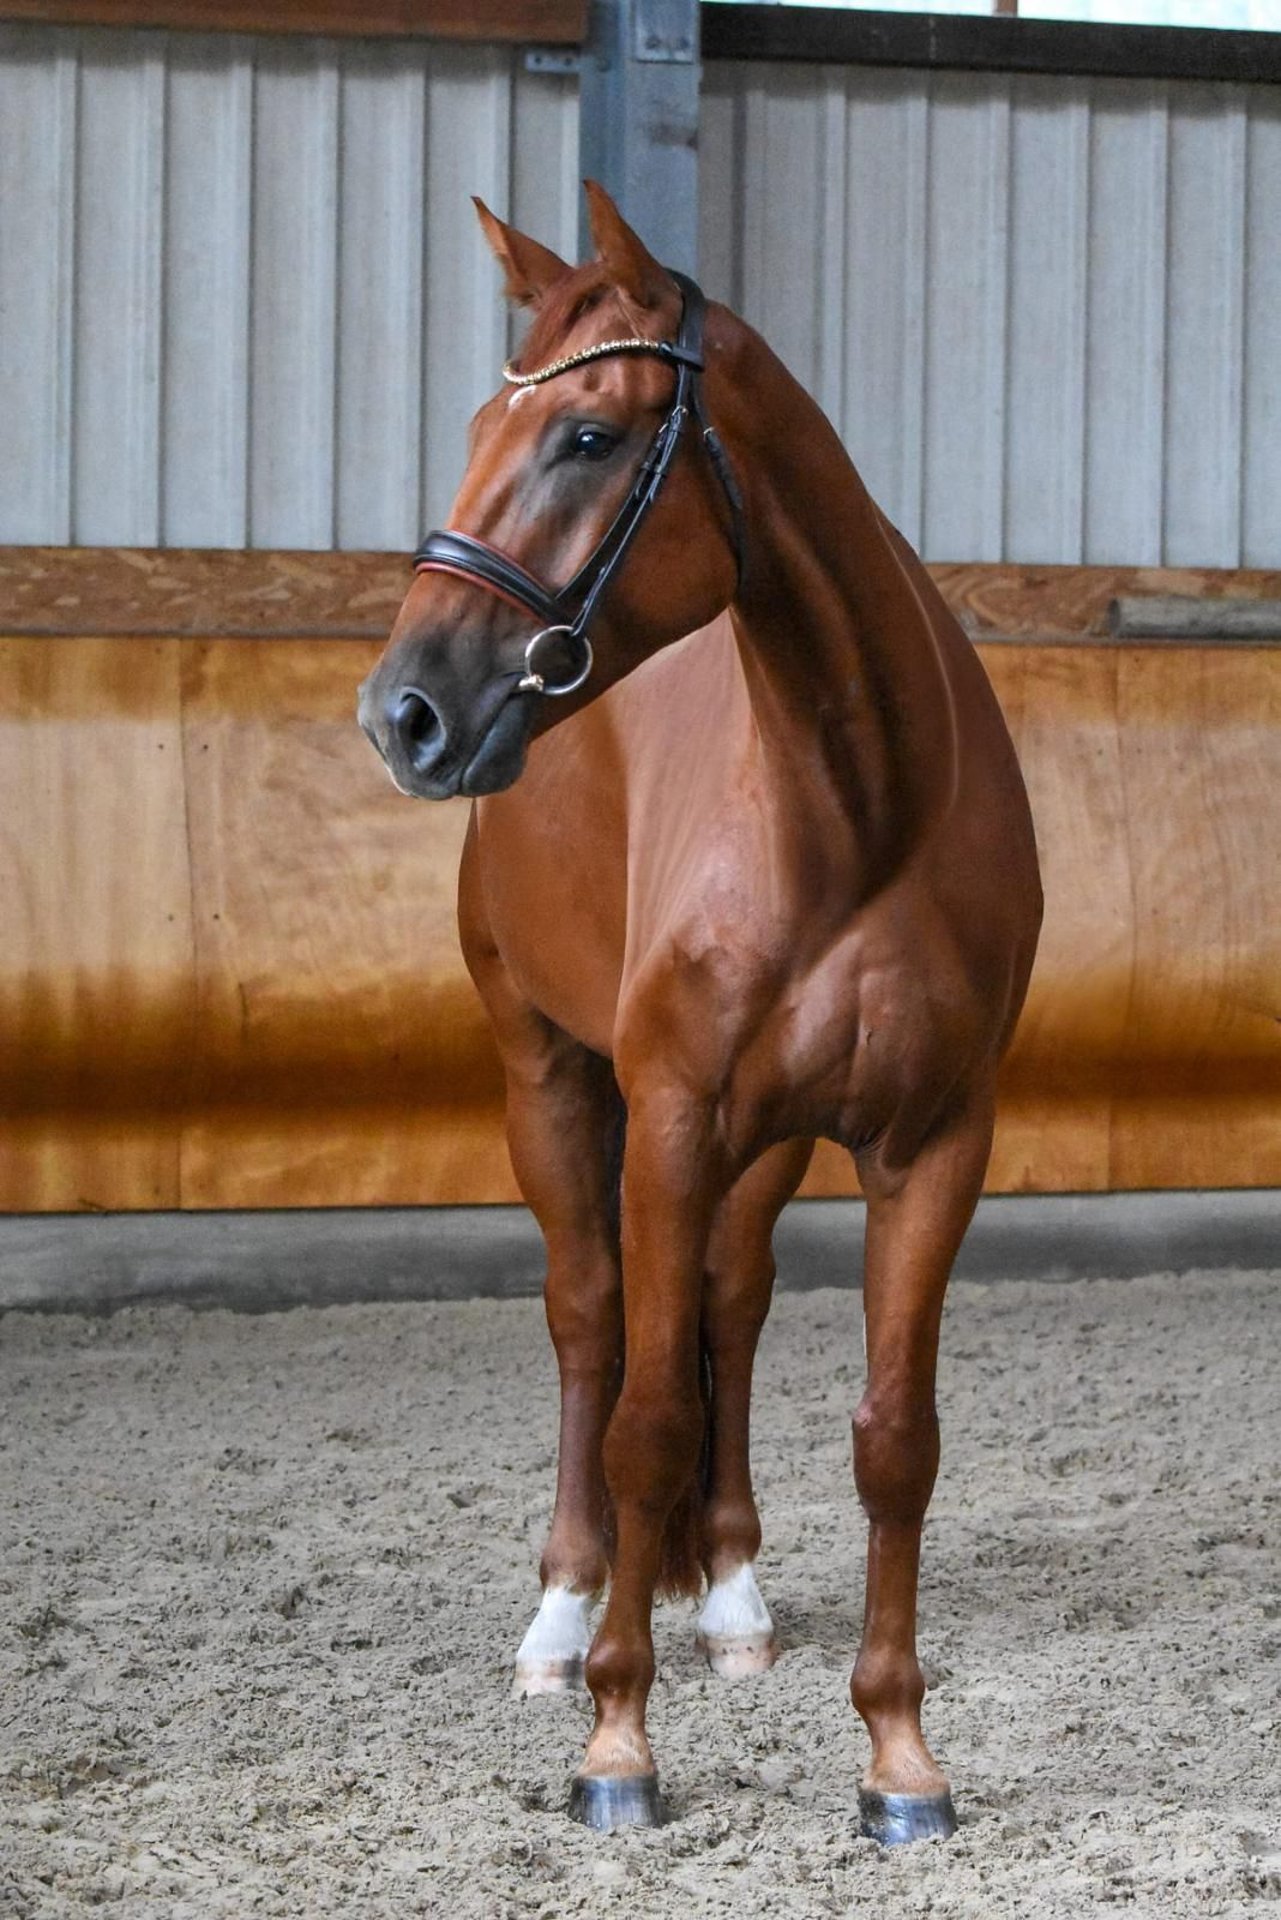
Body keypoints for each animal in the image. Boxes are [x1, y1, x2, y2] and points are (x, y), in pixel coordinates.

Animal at [358, 182, 1042, 1845]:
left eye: (587, 435)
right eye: (479, 424)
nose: (403, 712)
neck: (855, 811)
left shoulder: (931, 1143)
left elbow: (894, 1440)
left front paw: (899, 1760)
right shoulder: (664, 1117)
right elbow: (645, 1415)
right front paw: (616, 1744)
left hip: (763, 1147)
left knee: (725, 1303)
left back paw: (726, 1592)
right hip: (550, 1080)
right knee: (592, 1323)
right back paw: (563, 1619)